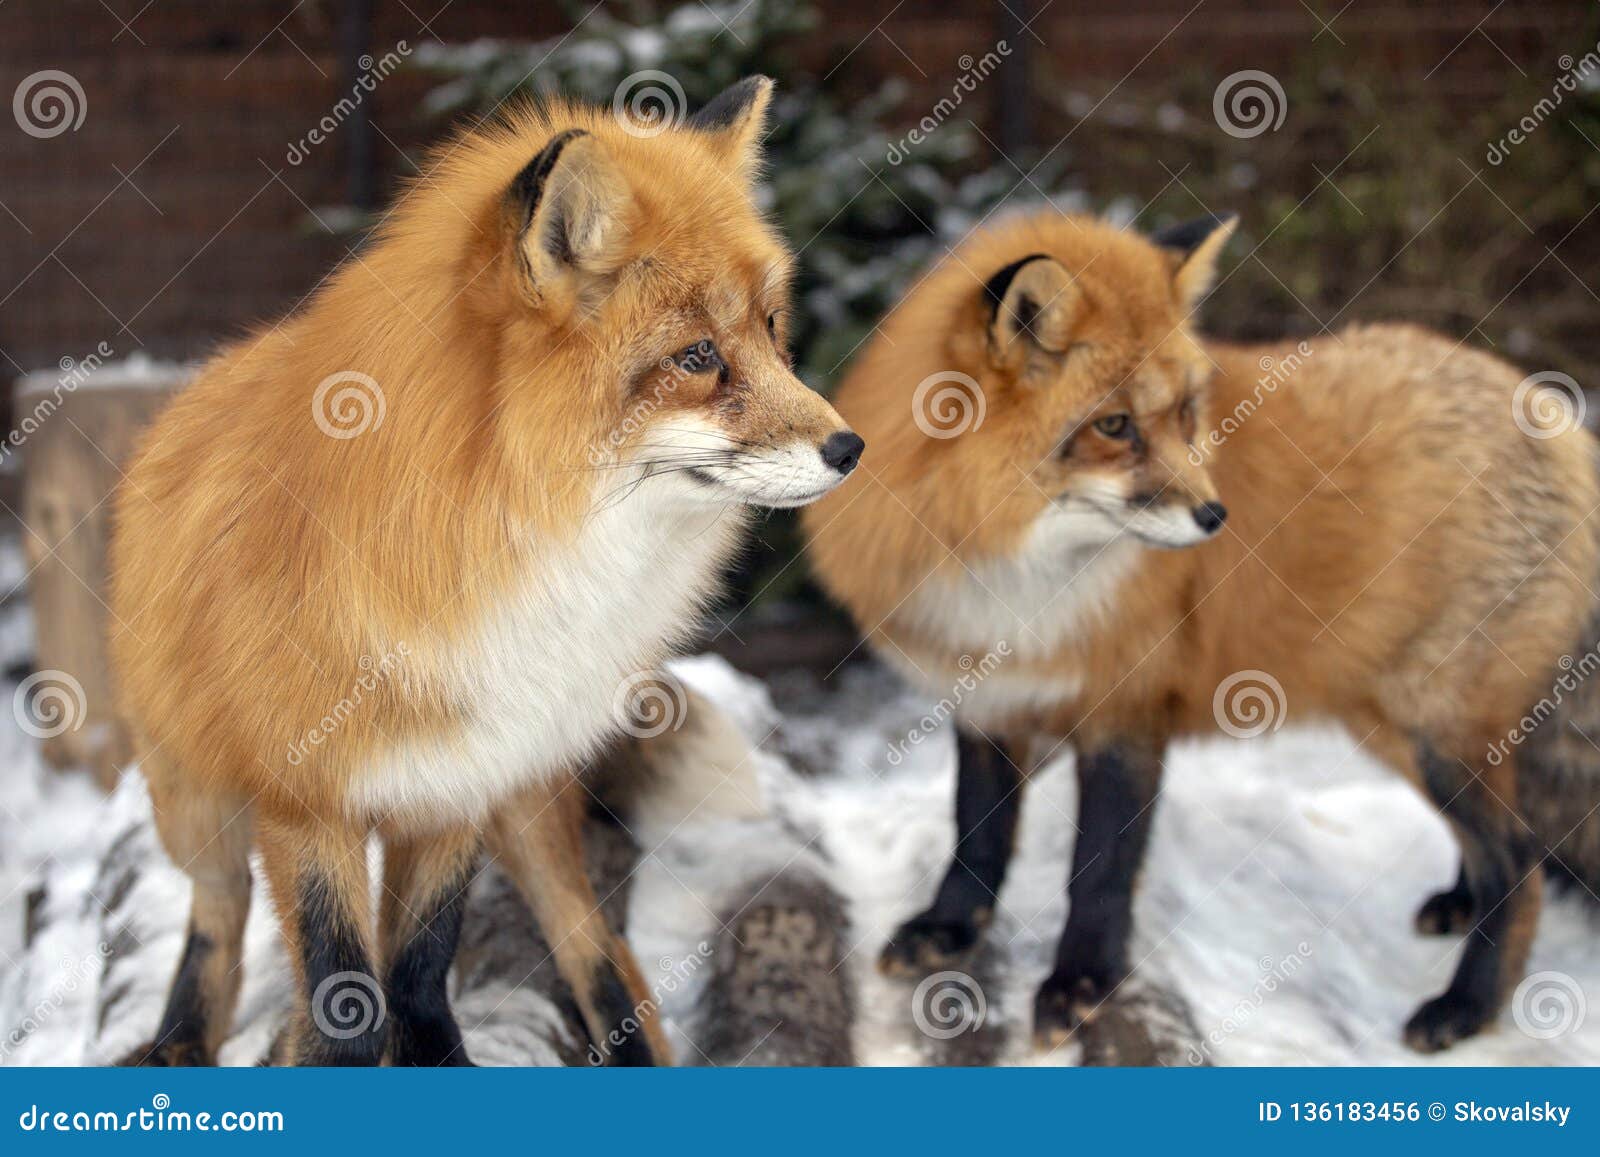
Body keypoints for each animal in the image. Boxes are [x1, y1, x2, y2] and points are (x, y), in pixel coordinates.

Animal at [107, 77, 862, 1067]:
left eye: (772, 332)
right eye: (698, 356)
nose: (851, 448)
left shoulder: (461, 783)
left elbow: (420, 974)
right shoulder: (303, 804)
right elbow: (344, 1007)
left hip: (527, 807)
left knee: (594, 946)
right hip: (192, 800)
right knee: (217, 914)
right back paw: (179, 1041)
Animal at [804, 208, 1600, 1055]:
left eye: (1187, 412)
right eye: (1114, 425)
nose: (1216, 516)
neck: (1009, 568)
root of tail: (1552, 412)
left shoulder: (1127, 710)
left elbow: (1100, 868)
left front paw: (1079, 984)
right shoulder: (989, 700)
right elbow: (976, 835)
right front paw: (949, 929)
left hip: (1434, 733)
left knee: (1521, 862)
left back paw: (1466, 1006)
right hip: (1403, 728)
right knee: (1504, 848)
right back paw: (1458, 907)